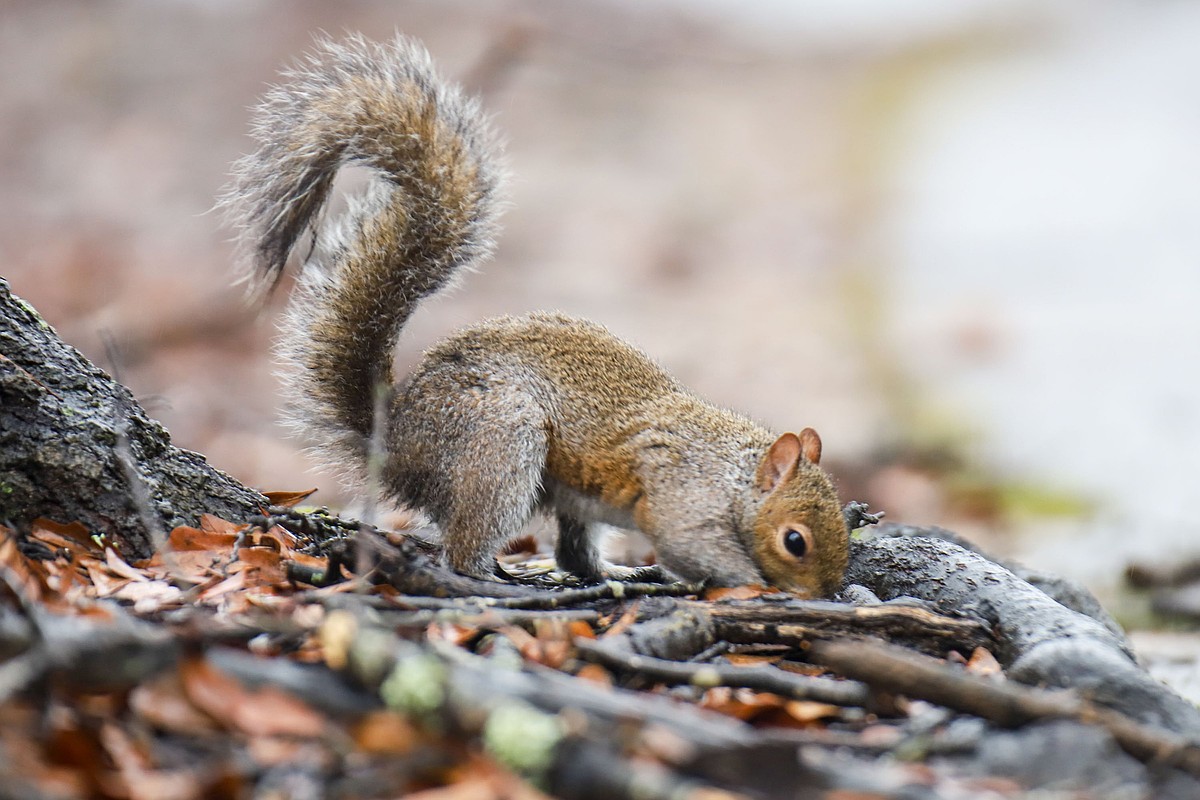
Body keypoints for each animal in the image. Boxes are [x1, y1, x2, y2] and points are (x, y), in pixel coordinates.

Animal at [223, 34, 851, 597]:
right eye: (795, 541)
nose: (827, 593)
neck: (735, 477)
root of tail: (396, 440)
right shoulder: (684, 494)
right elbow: (689, 546)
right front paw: (760, 586)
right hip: (500, 443)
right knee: (466, 545)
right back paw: (492, 581)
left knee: (573, 552)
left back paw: (616, 575)